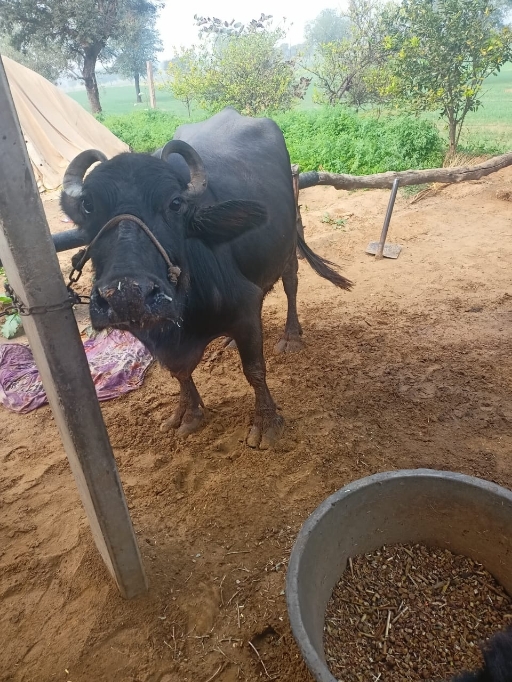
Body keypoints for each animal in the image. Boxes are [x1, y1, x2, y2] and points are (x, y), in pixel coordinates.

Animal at [61, 107, 351, 449]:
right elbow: (178, 372)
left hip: (290, 241)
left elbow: (254, 369)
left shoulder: (245, 307)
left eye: (175, 203)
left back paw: (291, 336)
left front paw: (267, 423)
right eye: (88, 206)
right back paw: (229, 341)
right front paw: (188, 413)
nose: (127, 294)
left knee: (290, 283)